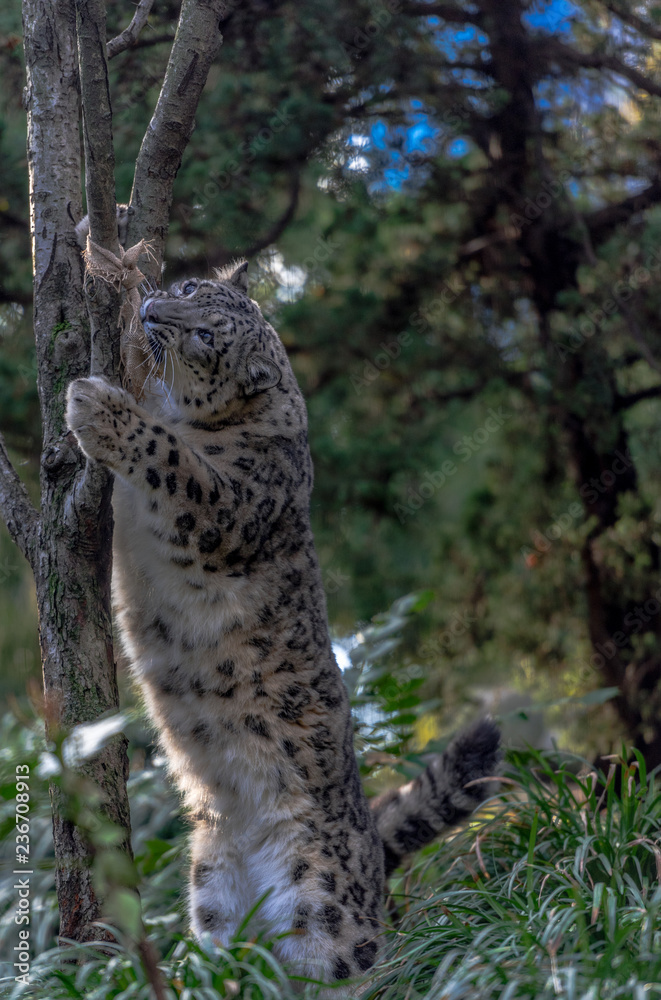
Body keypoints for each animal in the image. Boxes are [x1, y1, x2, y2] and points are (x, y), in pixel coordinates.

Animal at [65, 260, 500, 993]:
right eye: (189, 291)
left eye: (206, 338)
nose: (153, 312)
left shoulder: (229, 506)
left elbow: (171, 460)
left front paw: (99, 408)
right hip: (212, 901)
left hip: (327, 904)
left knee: (356, 962)